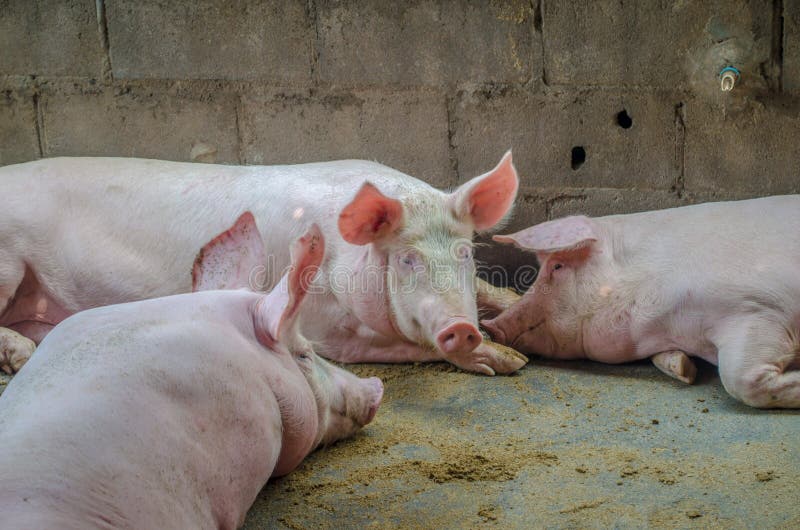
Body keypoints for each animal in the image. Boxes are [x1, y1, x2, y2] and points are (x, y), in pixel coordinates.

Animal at [0, 154, 525, 376]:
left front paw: (510, 332)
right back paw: (21, 358)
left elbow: (493, 291)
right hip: (7, 261)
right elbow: (399, 346)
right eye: (407, 259)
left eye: (465, 253)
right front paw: (508, 361)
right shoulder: (324, 327)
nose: (463, 327)